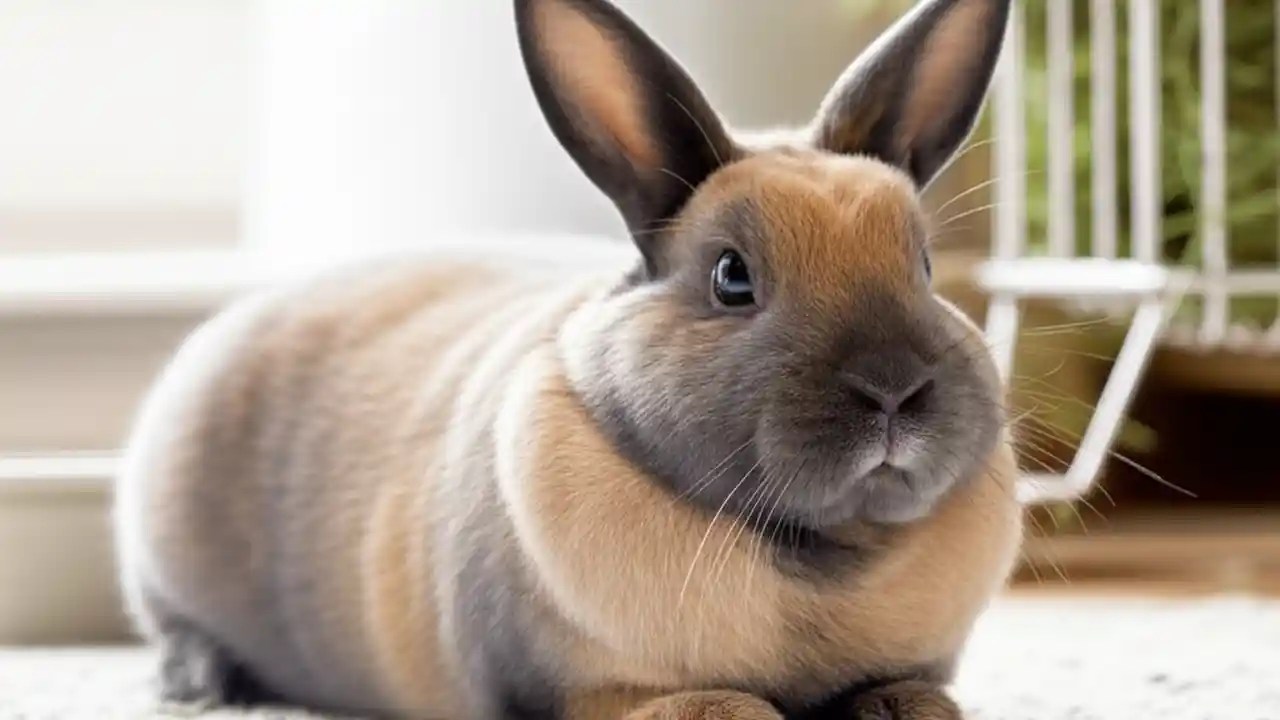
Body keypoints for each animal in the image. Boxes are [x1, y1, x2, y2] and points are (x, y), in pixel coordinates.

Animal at [114, 0, 1022, 717]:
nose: (895, 388)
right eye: (731, 277)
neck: (815, 555)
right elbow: (701, 705)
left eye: (925, 266)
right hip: (163, 558)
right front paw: (731, 709)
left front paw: (905, 708)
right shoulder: (575, 689)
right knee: (171, 625)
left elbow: (912, 692)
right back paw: (203, 683)